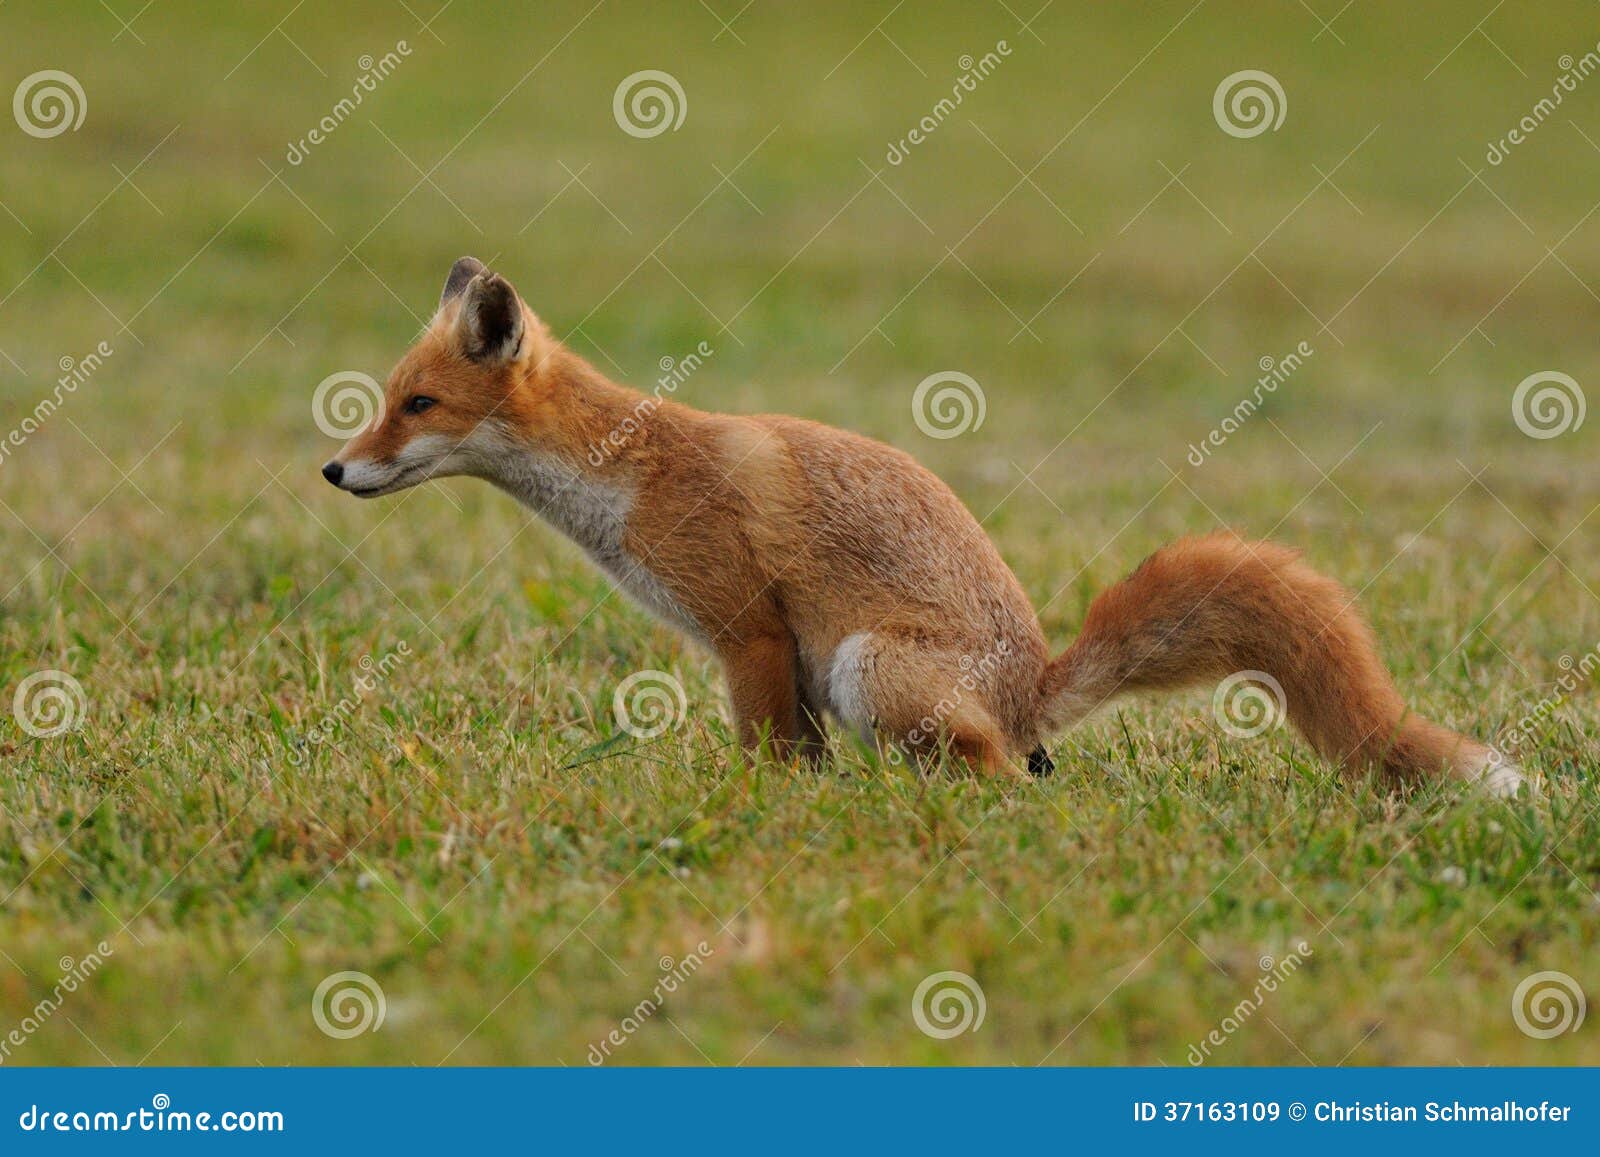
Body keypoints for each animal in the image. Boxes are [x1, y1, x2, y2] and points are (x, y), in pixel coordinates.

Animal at [321, 256, 1525, 796]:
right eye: (384, 399)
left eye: (417, 405)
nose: (335, 469)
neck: (628, 474)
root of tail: (1033, 677)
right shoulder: (775, 653)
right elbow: (796, 755)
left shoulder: (754, 630)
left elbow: (769, 755)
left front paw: (767, 816)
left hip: (868, 662)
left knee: (1001, 777)